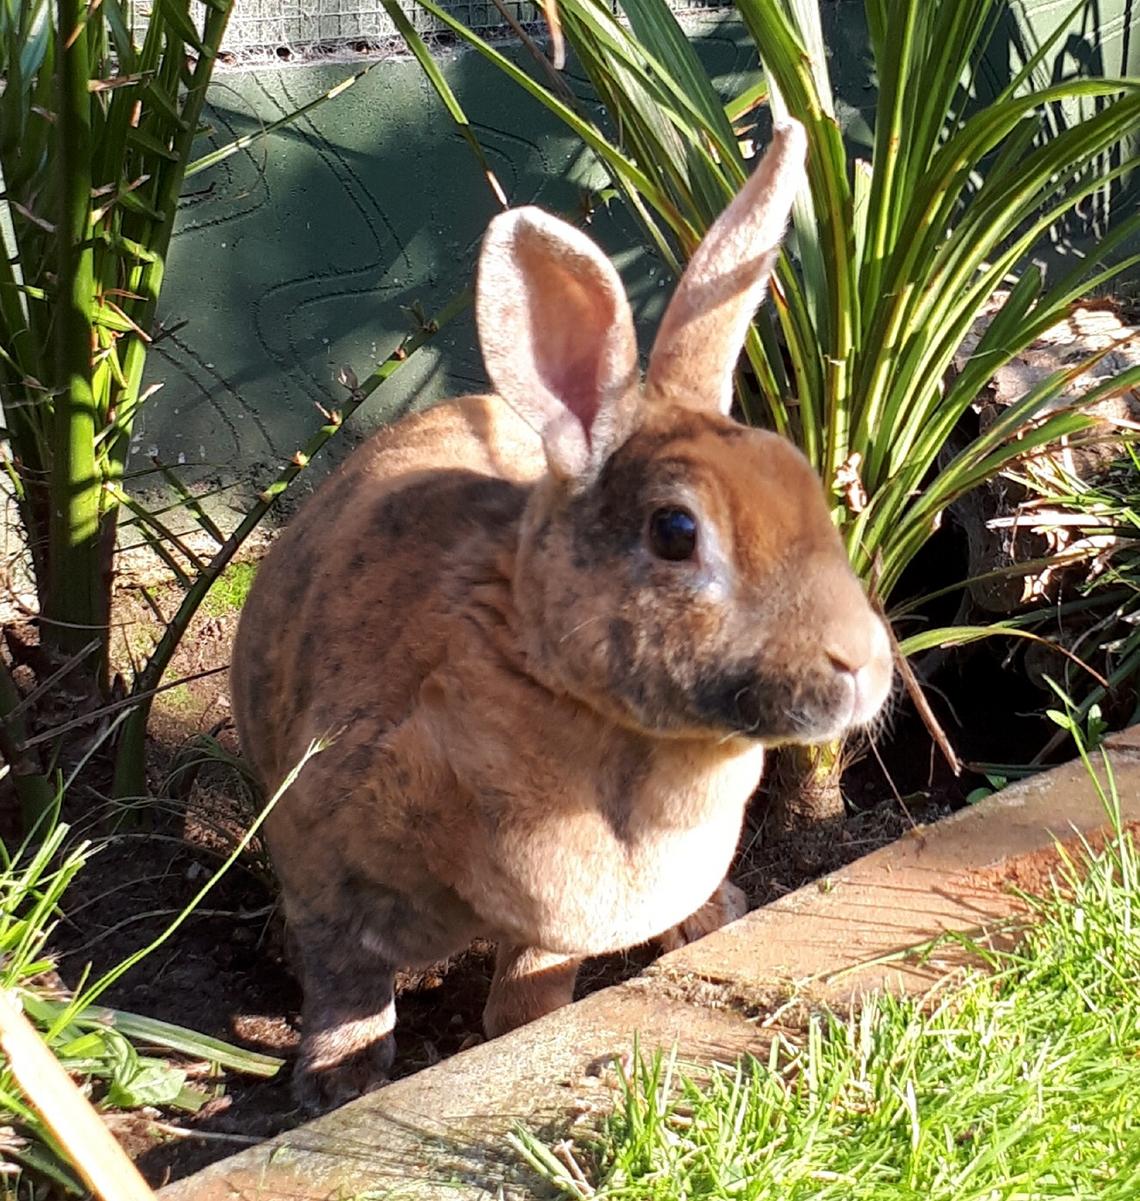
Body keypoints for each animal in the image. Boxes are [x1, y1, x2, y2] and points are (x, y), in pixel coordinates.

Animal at [230, 120, 893, 1112]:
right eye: (675, 531)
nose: (863, 663)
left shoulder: (554, 925)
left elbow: (530, 989)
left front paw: (513, 1034)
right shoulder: (324, 854)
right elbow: (349, 981)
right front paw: (338, 1082)